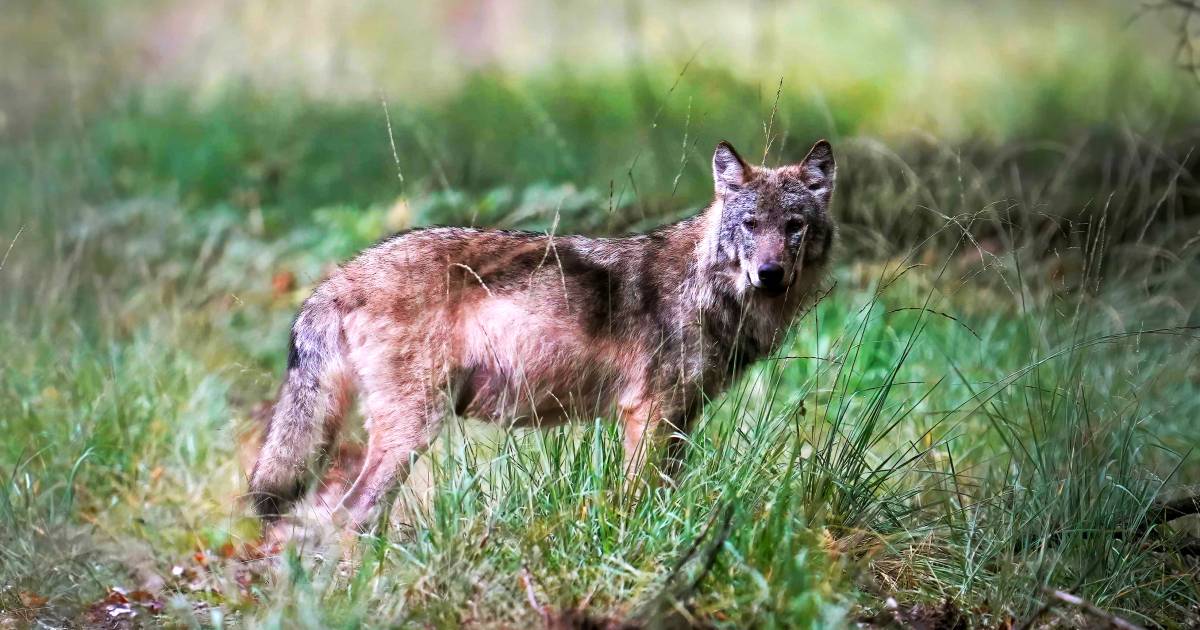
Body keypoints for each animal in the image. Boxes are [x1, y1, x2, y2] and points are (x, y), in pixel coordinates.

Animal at [249, 139, 837, 530]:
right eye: (751, 225)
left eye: (794, 227)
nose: (770, 274)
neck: (707, 288)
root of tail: (341, 275)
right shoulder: (647, 414)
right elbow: (637, 500)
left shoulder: (681, 419)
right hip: (413, 430)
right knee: (351, 515)